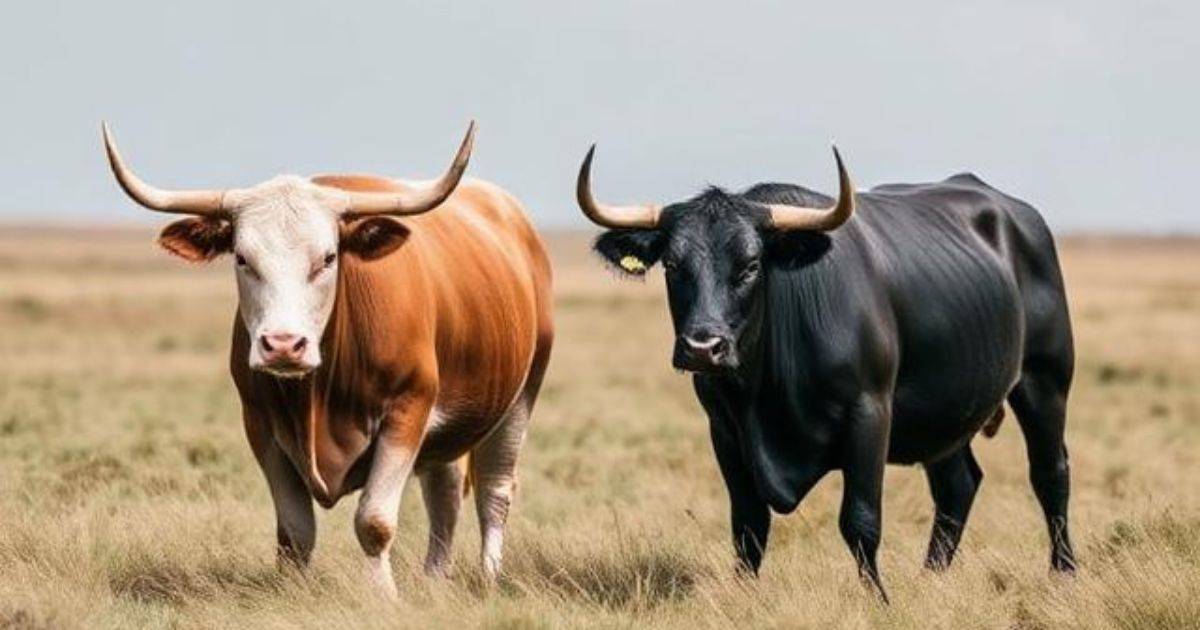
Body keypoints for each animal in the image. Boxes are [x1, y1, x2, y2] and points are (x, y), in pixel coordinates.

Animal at [101, 122, 554, 597]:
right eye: (243, 258)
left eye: (328, 257)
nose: (283, 344)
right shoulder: (260, 425)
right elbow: (296, 531)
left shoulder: (407, 411)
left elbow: (374, 521)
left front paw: (383, 595)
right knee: (444, 492)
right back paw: (435, 578)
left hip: (520, 397)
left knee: (494, 491)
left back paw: (489, 576)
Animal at [574, 144, 1075, 600]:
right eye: (674, 266)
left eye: (750, 265)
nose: (703, 347)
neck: (764, 394)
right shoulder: (725, 429)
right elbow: (748, 525)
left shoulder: (869, 415)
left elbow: (860, 519)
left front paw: (878, 600)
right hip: (947, 413)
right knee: (957, 486)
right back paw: (931, 580)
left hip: (1044, 380)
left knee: (1050, 473)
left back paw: (1063, 574)